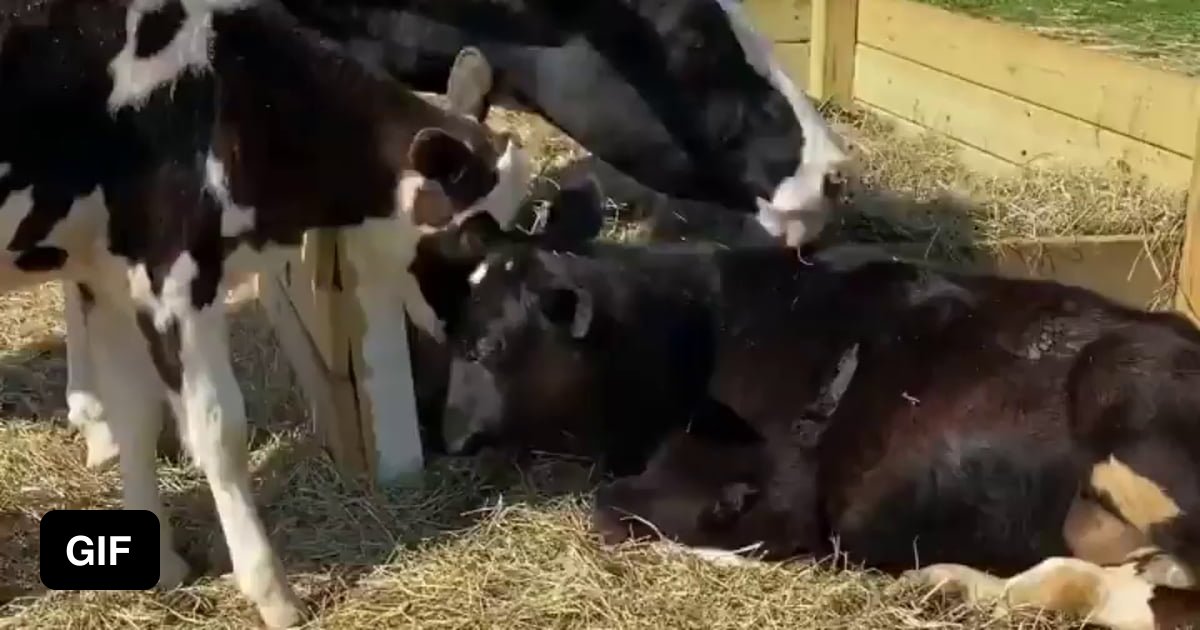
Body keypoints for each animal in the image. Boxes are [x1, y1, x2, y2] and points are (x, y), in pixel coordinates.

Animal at [1, 0, 533, 625]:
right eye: (468, 239)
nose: (486, 343)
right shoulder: (176, 275)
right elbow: (217, 432)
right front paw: (273, 594)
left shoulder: (109, 271)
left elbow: (134, 412)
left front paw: (162, 567)